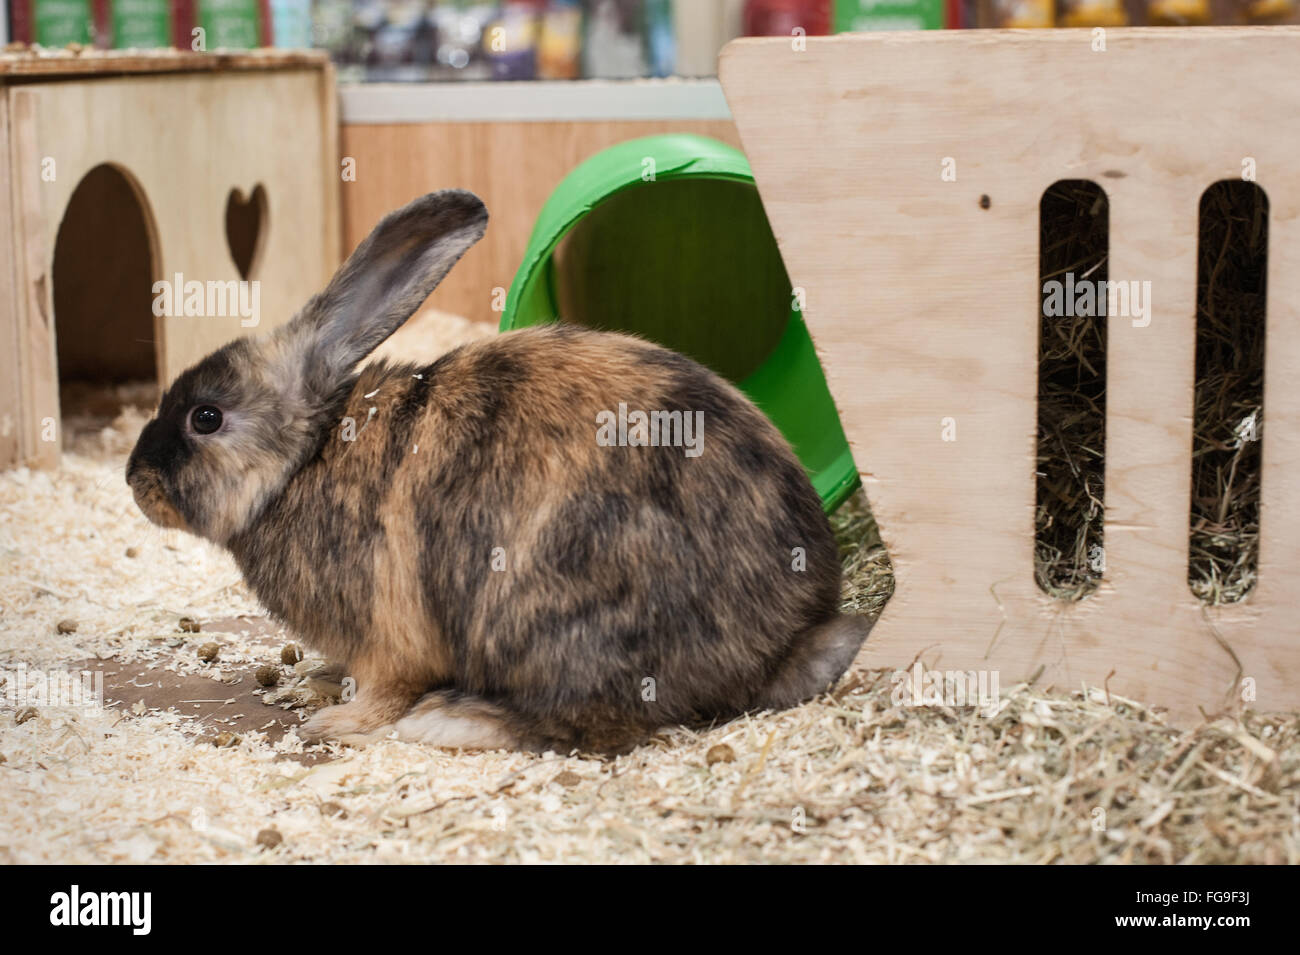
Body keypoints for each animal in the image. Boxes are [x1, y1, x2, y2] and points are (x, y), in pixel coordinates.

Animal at [126, 189, 871, 754]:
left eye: (206, 418)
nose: (135, 479)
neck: (302, 460)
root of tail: (786, 642)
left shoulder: (389, 639)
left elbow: (383, 690)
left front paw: (335, 719)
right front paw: (318, 678)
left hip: (545, 613)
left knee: (584, 720)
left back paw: (451, 721)